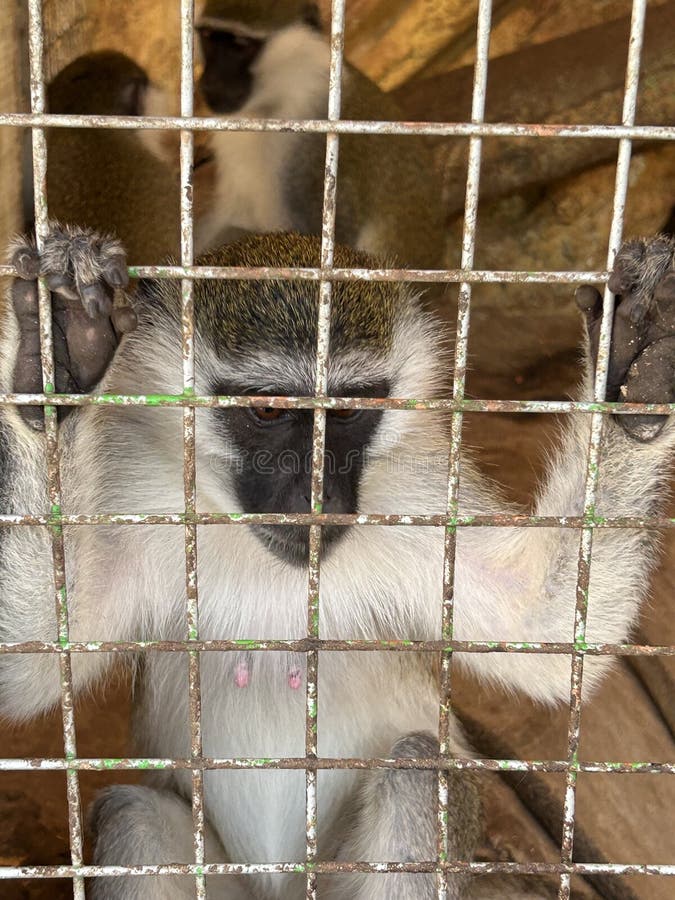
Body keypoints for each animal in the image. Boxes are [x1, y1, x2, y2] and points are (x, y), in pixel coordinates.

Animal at [1, 209, 674, 899]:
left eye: (348, 409)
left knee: (417, 775)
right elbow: (34, 655)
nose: (316, 494)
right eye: (269, 409)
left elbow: (544, 627)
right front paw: (58, 364)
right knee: (132, 814)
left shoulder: (419, 499)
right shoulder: (137, 500)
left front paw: (636, 374)